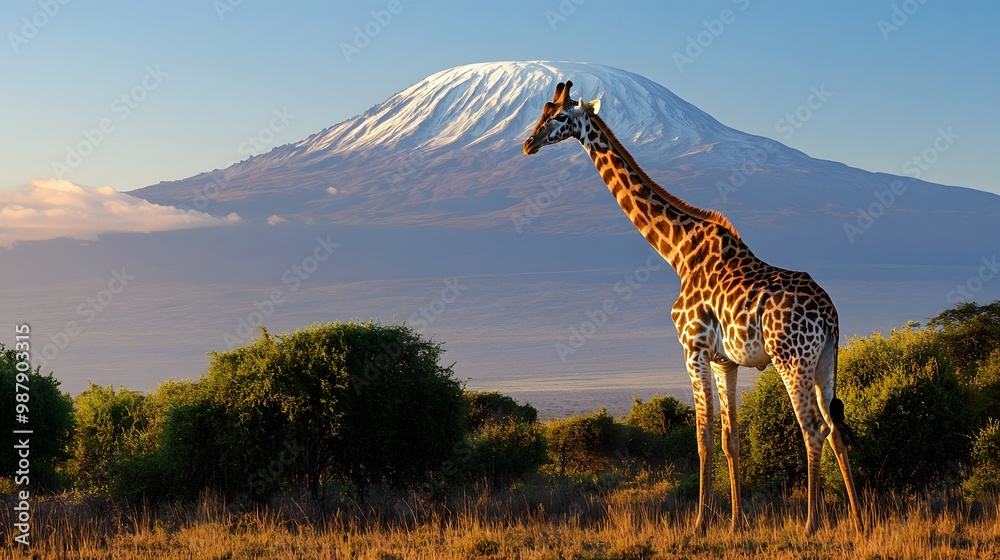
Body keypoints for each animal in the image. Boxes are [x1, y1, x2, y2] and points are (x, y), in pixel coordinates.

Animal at [523, 80, 862, 536]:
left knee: (812, 428)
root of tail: (830, 315)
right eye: (541, 111)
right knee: (836, 428)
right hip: (825, 358)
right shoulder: (725, 360)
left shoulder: (693, 348)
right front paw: (736, 522)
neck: (677, 251)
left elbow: (701, 437)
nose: (528, 144)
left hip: (791, 358)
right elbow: (730, 438)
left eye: (559, 117)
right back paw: (862, 520)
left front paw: (700, 523)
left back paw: (811, 524)